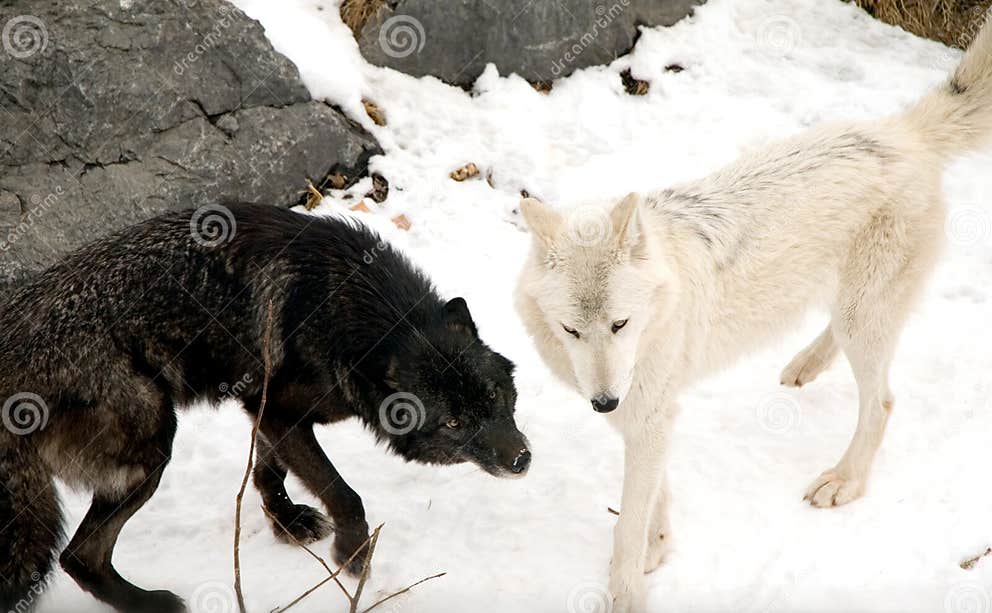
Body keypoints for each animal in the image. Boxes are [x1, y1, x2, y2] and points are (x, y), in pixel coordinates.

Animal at [0, 203, 531, 612]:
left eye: (494, 395)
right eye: (454, 422)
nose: (521, 460)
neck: (346, 311)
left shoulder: (267, 410)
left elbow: (268, 470)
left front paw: (287, 523)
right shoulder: (279, 412)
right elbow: (343, 494)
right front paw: (352, 555)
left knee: (77, 555)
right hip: (151, 446)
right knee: (78, 555)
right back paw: (149, 604)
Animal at [516, 20, 992, 612]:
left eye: (619, 325)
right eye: (572, 330)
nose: (603, 403)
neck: (658, 309)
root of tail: (903, 131)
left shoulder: (647, 410)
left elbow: (627, 520)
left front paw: (626, 592)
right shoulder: (646, 412)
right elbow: (654, 495)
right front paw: (658, 548)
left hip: (863, 317)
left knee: (881, 402)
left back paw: (844, 480)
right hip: (851, 305)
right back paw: (806, 365)